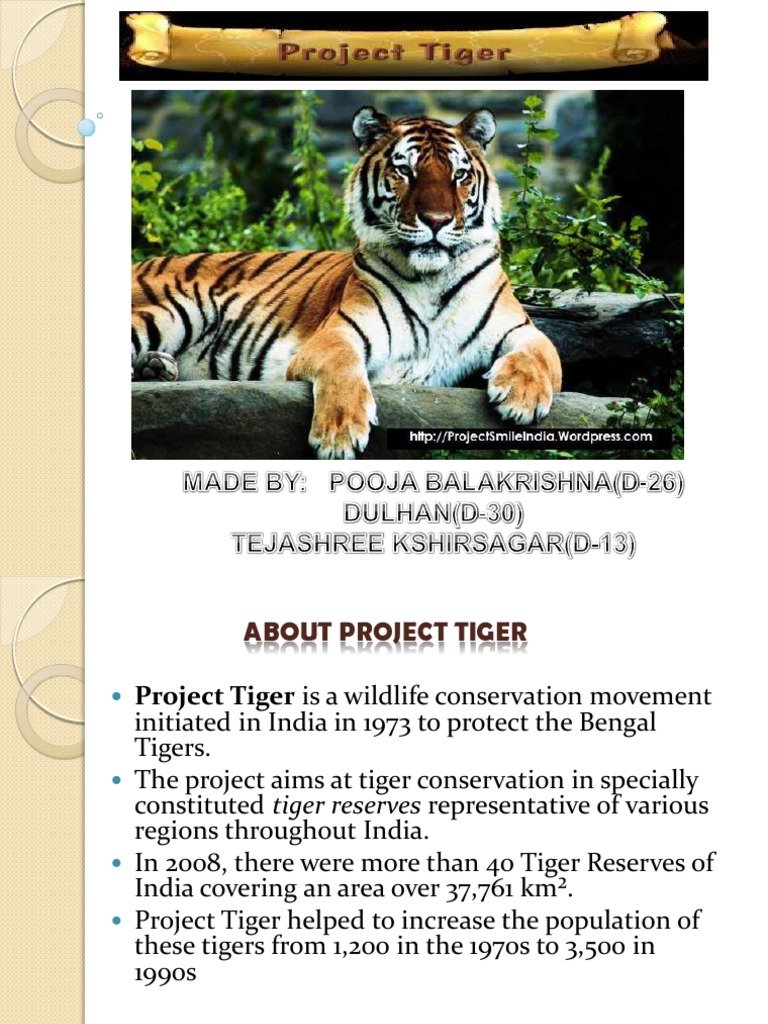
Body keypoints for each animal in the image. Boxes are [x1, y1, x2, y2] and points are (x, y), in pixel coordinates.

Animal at [132, 106, 562, 459]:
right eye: (405, 171)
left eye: (459, 175)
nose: (437, 221)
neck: (431, 280)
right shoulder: (338, 333)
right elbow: (343, 366)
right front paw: (338, 436)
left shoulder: (521, 329)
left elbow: (539, 355)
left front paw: (522, 398)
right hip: (178, 309)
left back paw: (156, 368)